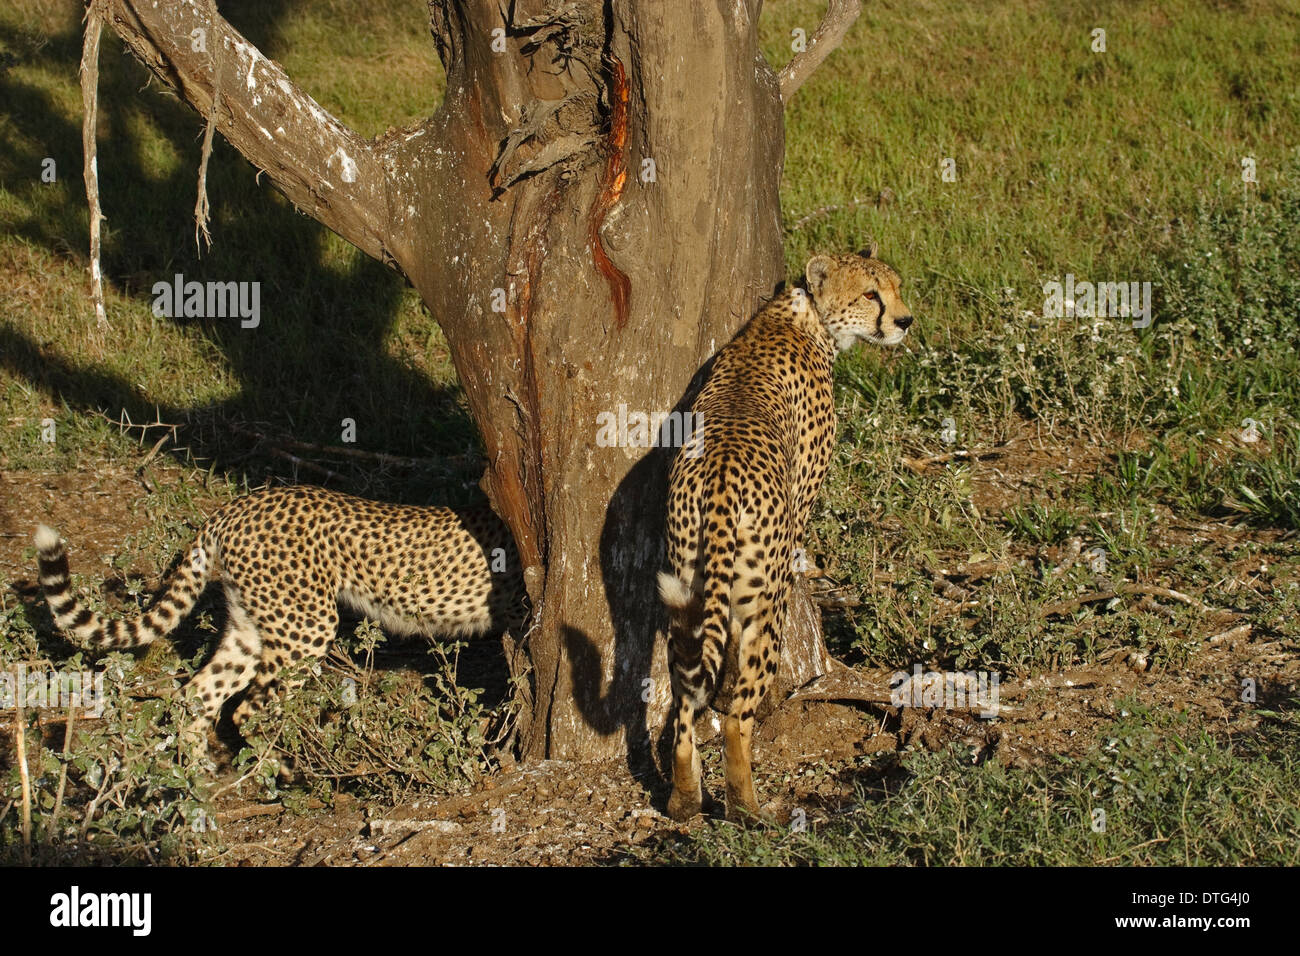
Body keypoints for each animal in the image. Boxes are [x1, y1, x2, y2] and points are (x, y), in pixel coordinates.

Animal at [34, 485, 525, 754]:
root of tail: (236, 506)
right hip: (305, 626)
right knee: (249, 711)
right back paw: (293, 771)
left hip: (251, 628)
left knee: (198, 695)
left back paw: (199, 786)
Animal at [658, 245, 914, 821]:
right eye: (871, 294)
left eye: (896, 287)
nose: (905, 321)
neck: (808, 315)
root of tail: (720, 480)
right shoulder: (801, 504)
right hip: (765, 598)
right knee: (738, 715)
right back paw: (748, 809)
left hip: (686, 580)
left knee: (685, 706)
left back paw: (685, 800)